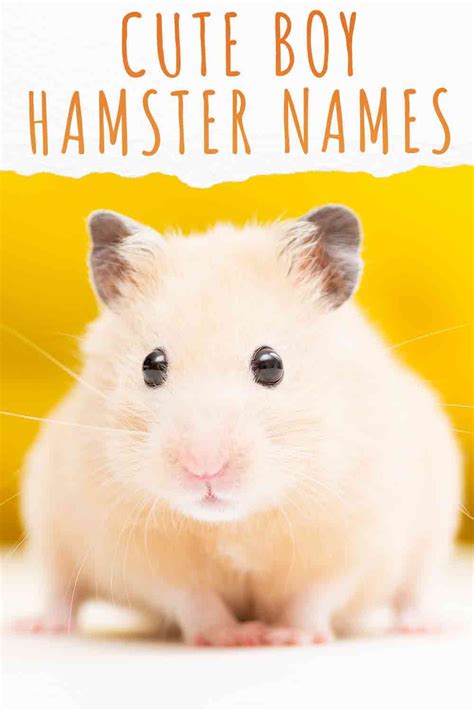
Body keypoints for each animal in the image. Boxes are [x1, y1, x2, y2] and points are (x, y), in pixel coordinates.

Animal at [17, 205, 461, 645]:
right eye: (151, 365)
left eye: (270, 364)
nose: (205, 468)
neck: (236, 520)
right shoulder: (137, 550)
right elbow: (193, 598)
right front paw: (236, 637)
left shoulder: (356, 536)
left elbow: (313, 596)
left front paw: (289, 637)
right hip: (49, 523)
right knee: (62, 589)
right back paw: (38, 625)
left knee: (412, 591)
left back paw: (425, 626)